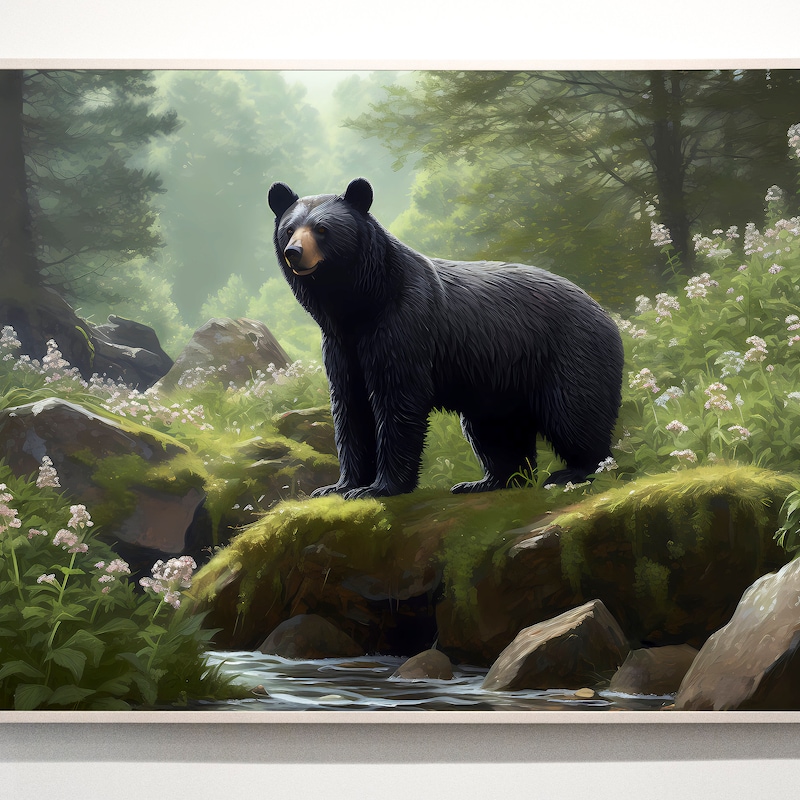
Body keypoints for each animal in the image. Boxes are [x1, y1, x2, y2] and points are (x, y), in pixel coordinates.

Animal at [268, 177, 624, 499]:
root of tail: (605, 313)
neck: (362, 305)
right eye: (289, 229)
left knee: (574, 413)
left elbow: (398, 400)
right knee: (494, 431)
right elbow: (350, 406)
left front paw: (378, 487)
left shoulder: (405, 326)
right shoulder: (342, 345)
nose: (293, 252)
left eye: (322, 229)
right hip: (500, 381)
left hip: (570, 352)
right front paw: (338, 486)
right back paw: (489, 481)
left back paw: (576, 470)